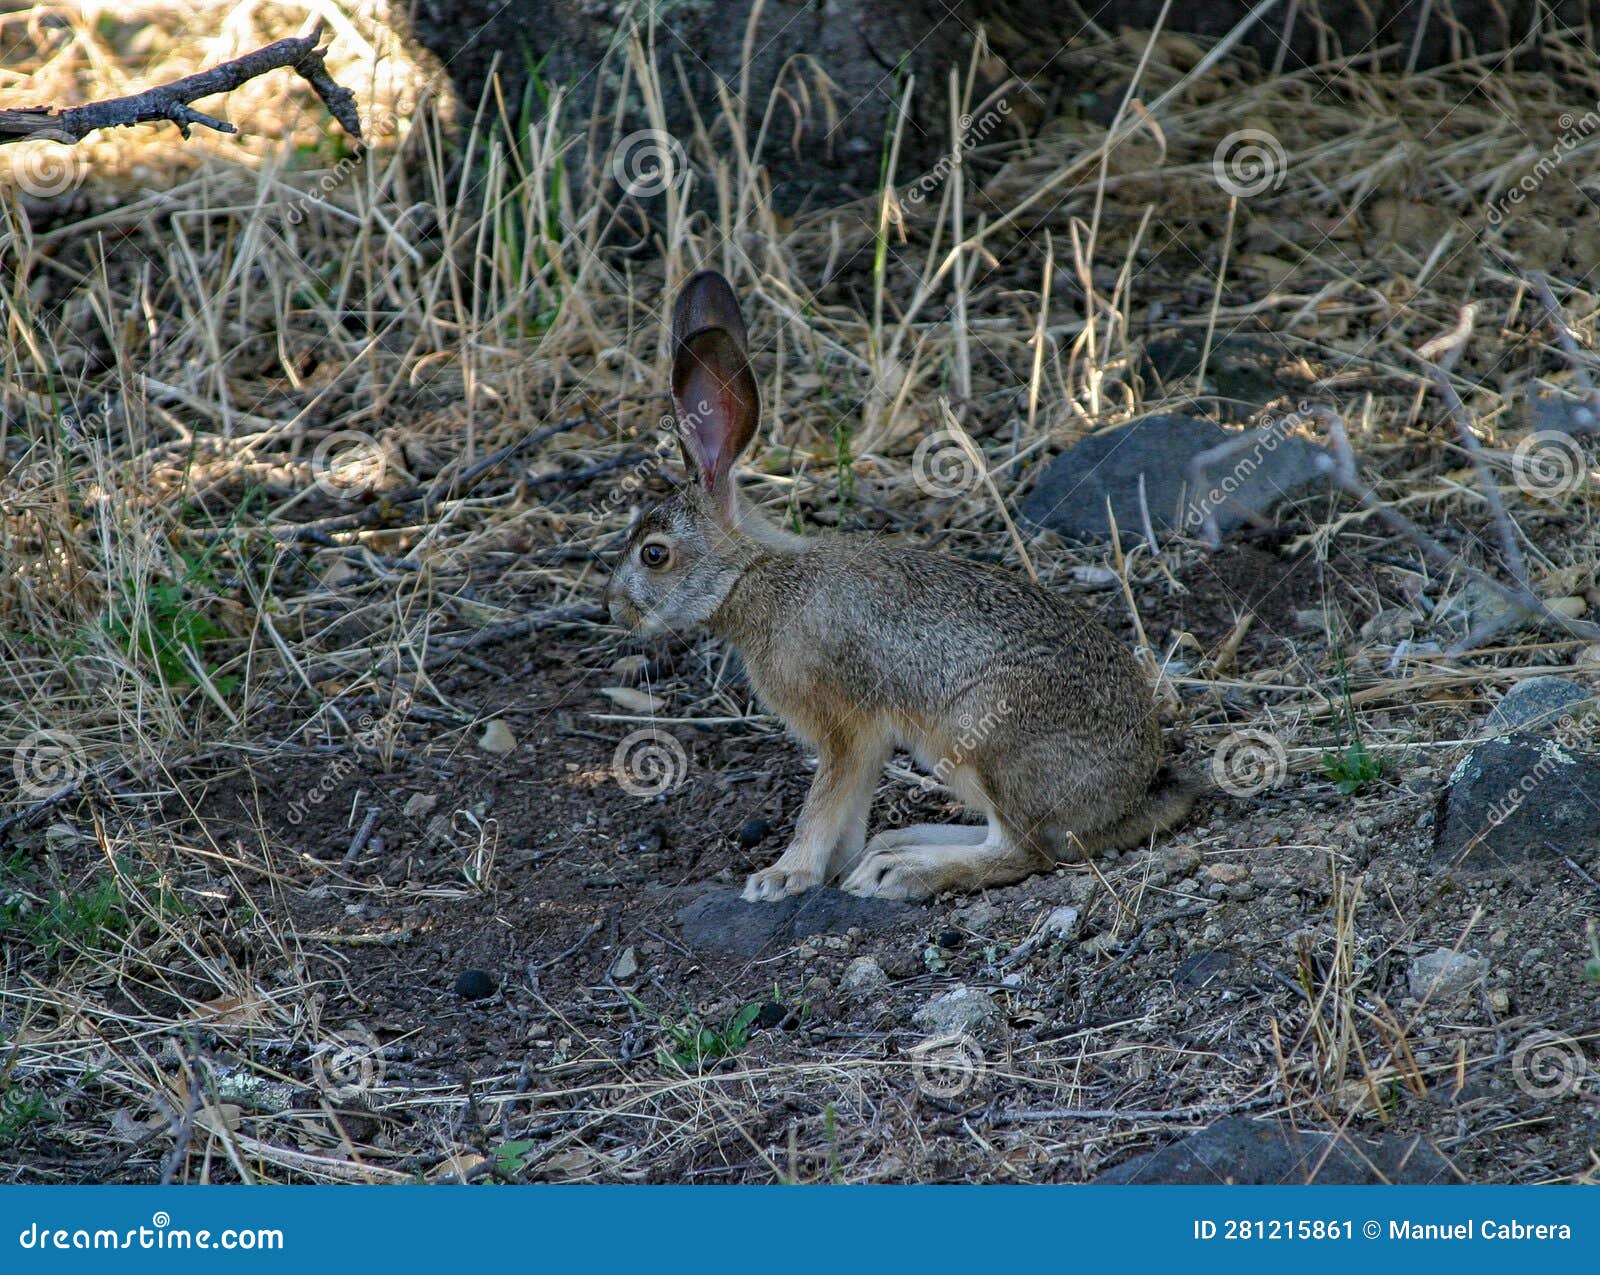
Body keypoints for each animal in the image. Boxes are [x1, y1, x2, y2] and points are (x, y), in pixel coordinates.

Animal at [605, 270, 1194, 902]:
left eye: (654, 554)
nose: (614, 608)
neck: (752, 577)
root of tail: (1132, 793)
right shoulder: (863, 739)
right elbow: (849, 806)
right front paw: (831, 866)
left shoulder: (845, 726)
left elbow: (824, 801)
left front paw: (783, 876)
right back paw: (893, 846)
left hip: (979, 736)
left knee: (1026, 850)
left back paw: (904, 870)